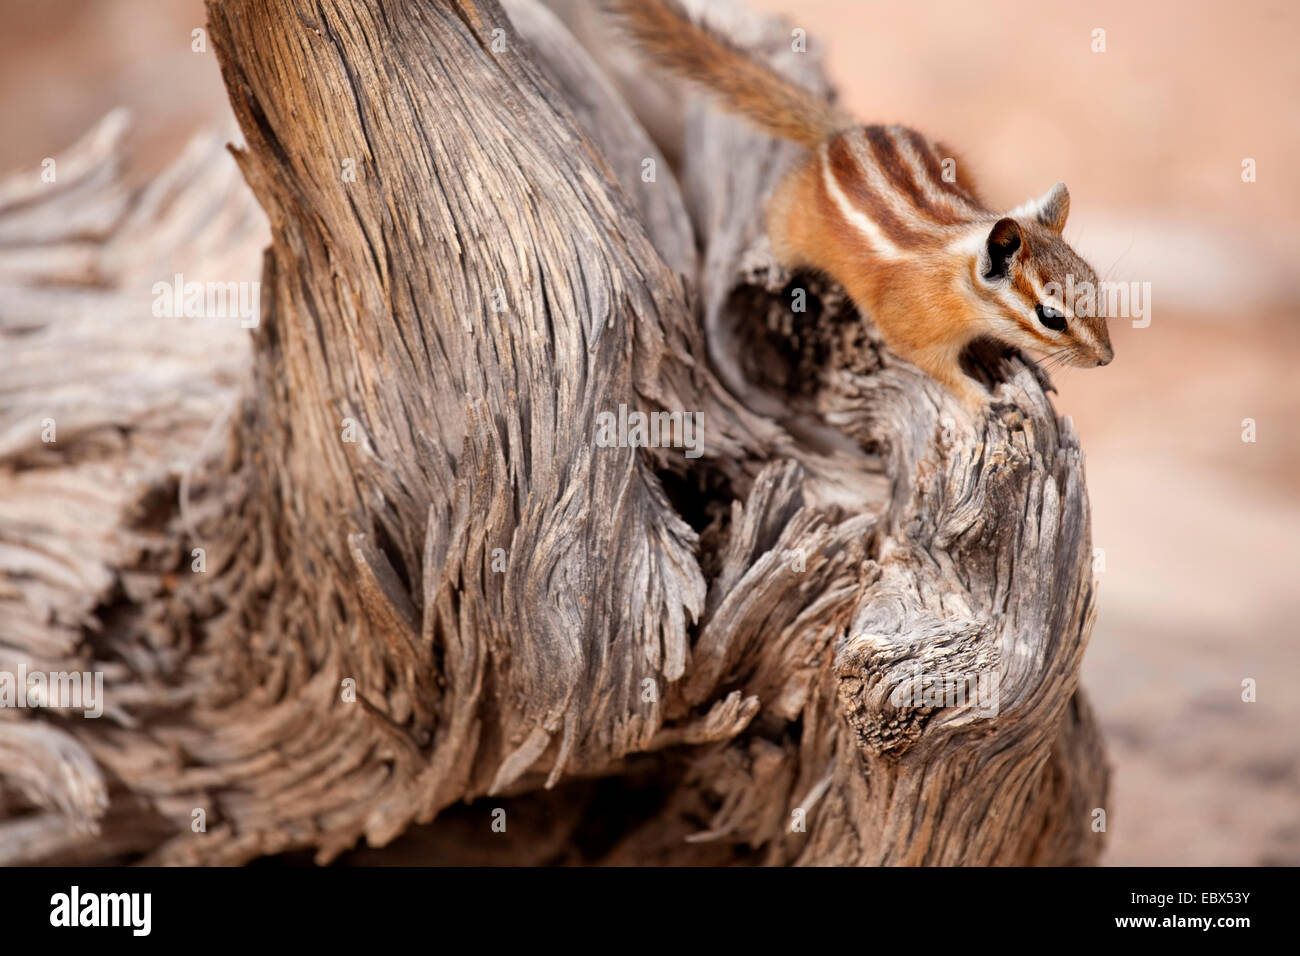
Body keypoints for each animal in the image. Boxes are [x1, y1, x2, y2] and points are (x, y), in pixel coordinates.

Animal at [606, 0, 1114, 411]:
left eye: (1095, 283)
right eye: (1050, 316)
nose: (1106, 358)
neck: (958, 278)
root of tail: (843, 132)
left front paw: (1032, 365)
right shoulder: (910, 330)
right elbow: (937, 368)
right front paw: (982, 401)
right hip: (789, 221)